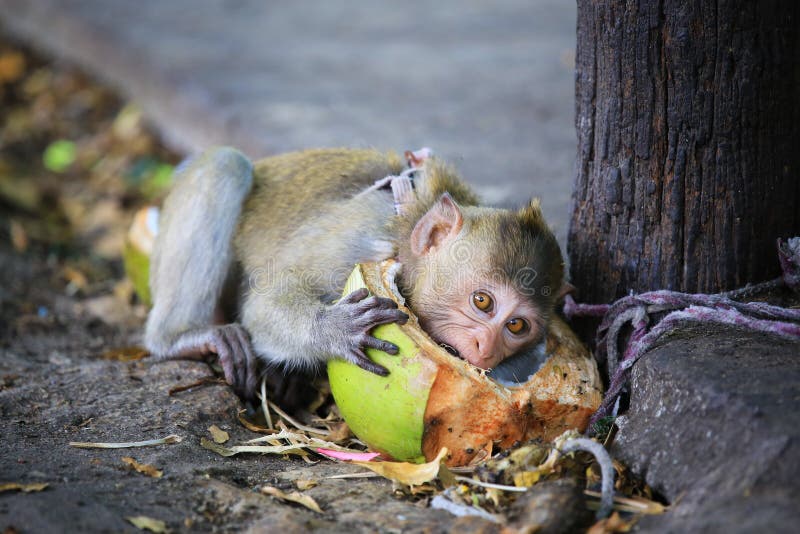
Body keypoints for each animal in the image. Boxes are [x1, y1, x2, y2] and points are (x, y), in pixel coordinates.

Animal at [144, 147, 564, 406]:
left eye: (517, 326)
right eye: (482, 301)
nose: (486, 348)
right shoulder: (359, 238)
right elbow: (267, 303)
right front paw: (334, 329)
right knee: (225, 165)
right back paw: (180, 335)